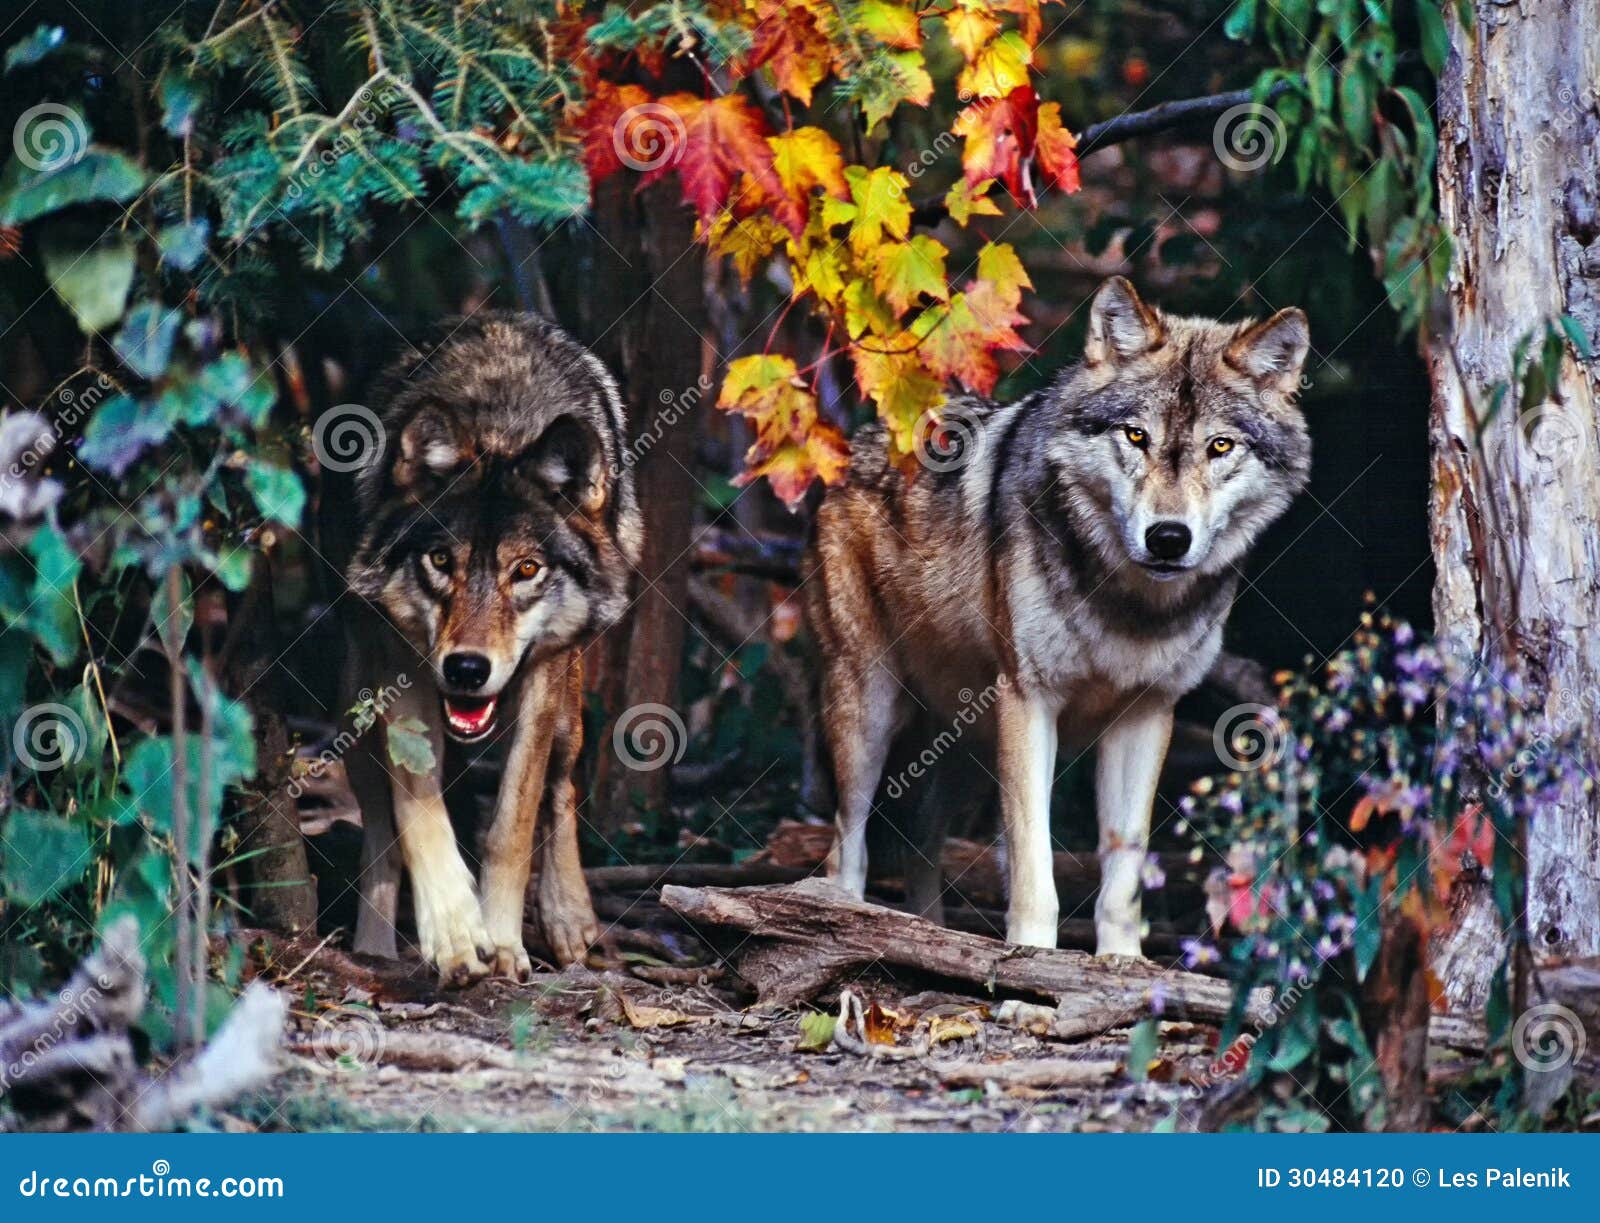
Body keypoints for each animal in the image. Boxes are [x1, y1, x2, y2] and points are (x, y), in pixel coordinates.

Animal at [343, 313, 641, 986]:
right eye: (440, 561)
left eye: (526, 568)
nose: (466, 668)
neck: (501, 424)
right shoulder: (396, 661)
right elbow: (417, 809)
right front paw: (456, 934)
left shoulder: (543, 680)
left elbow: (513, 824)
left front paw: (503, 943)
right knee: (377, 827)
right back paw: (373, 946)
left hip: (568, 703)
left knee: (560, 787)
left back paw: (569, 920)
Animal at [804, 276, 1310, 956]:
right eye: (1136, 436)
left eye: (1220, 446)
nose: (1168, 538)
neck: (1129, 606)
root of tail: (860, 441)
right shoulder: (1030, 701)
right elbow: (1032, 866)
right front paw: (1033, 960)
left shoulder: (1146, 714)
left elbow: (1123, 875)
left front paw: (1122, 965)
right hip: (870, 711)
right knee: (848, 845)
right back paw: (846, 925)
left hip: (965, 742)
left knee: (920, 836)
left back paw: (927, 936)